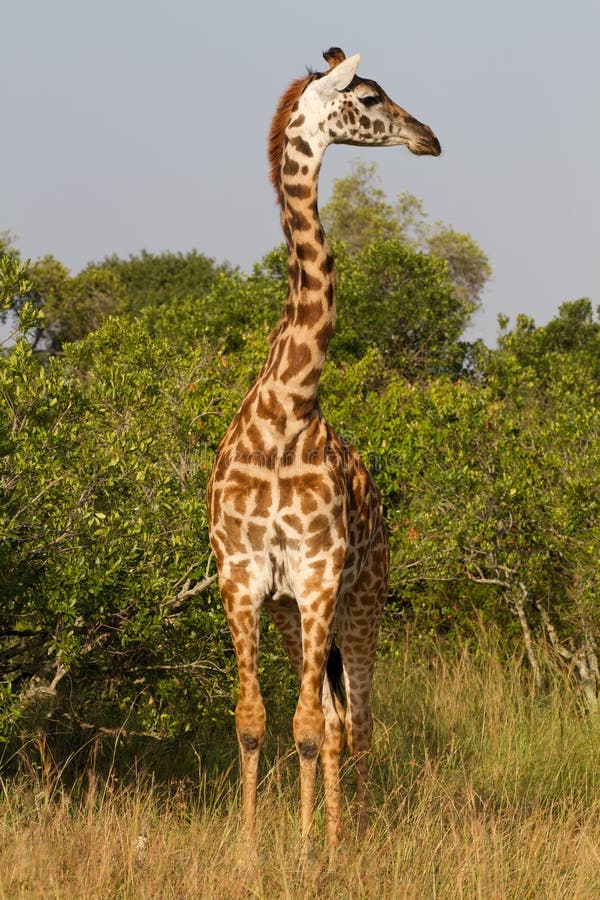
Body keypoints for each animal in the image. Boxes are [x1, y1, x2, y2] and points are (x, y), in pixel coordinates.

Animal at [207, 47, 440, 855]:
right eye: (370, 97)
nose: (429, 138)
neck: (288, 410)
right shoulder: (247, 580)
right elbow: (254, 722)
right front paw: (250, 853)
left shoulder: (315, 577)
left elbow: (307, 727)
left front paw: (310, 853)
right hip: (297, 614)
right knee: (339, 720)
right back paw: (341, 835)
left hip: (363, 600)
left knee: (358, 722)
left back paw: (355, 840)